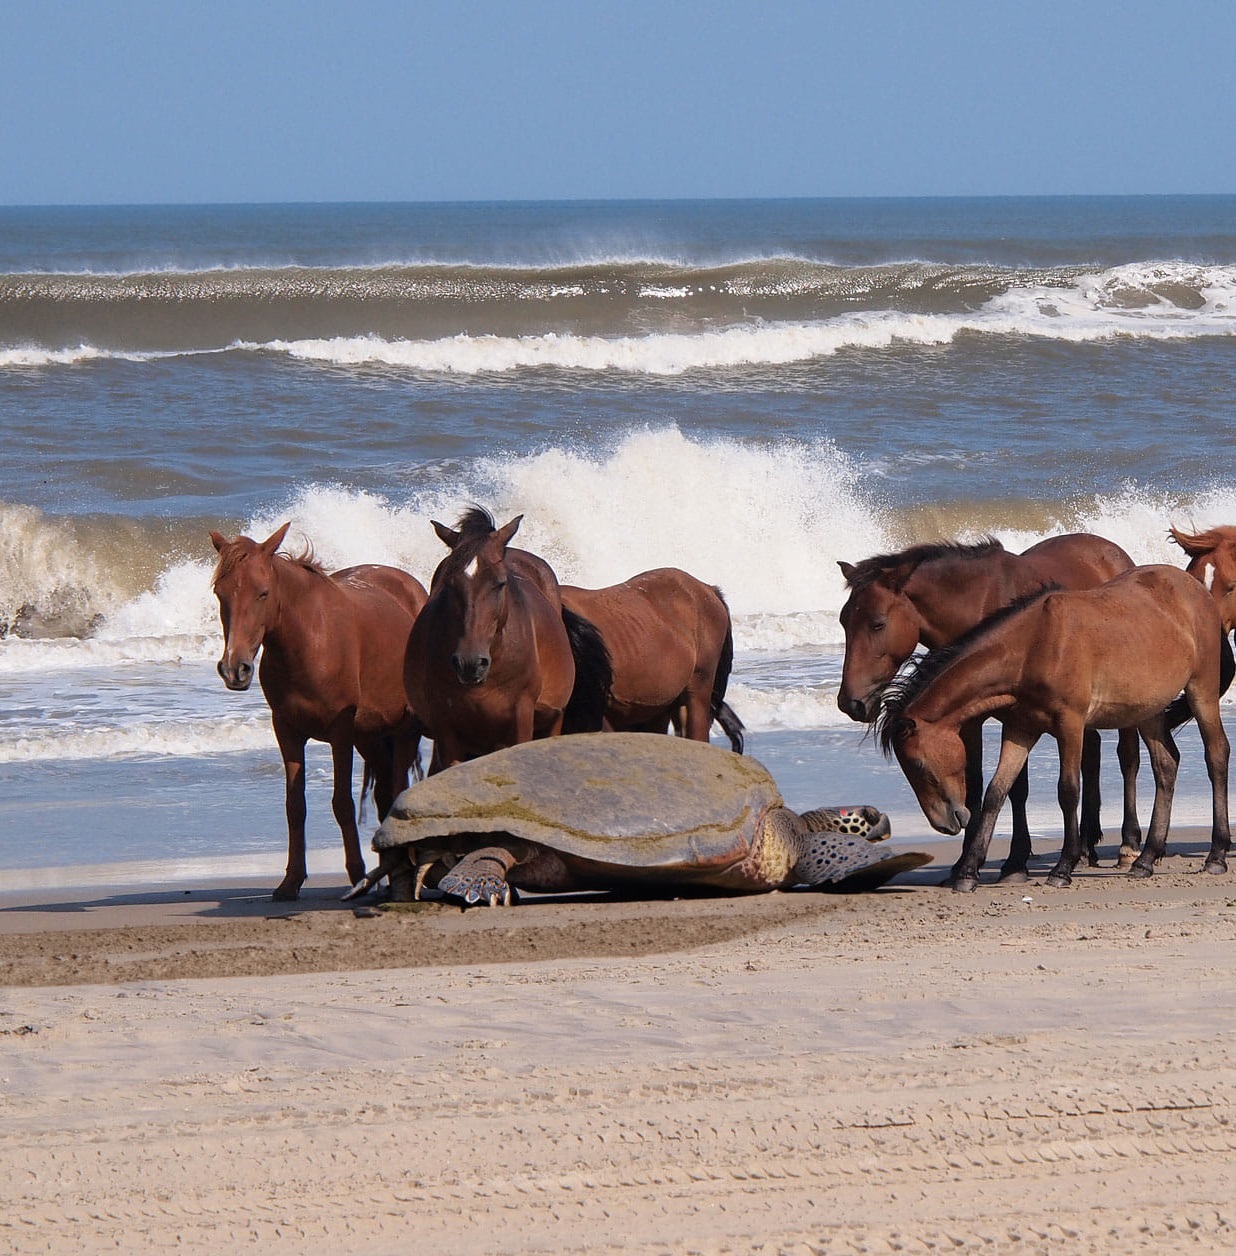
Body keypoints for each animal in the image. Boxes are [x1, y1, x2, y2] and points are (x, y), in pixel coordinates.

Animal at [211, 523, 428, 900]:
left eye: (263, 593)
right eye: (220, 594)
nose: (235, 669)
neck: (308, 640)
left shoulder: (340, 733)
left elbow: (342, 803)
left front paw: (356, 875)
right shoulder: (286, 730)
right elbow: (294, 806)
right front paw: (291, 881)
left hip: (403, 732)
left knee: (397, 789)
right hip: (370, 737)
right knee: (385, 793)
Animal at [404, 508, 611, 771]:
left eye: (500, 583)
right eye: (448, 583)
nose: (469, 663)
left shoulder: (520, 717)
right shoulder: (446, 728)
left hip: (551, 721)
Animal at [838, 533, 1142, 880]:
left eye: (877, 624)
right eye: (843, 621)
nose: (851, 703)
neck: (979, 605)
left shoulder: (1015, 716)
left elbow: (1017, 788)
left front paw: (1014, 862)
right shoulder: (967, 719)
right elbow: (976, 784)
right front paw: (965, 862)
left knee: (1128, 759)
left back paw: (1128, 844)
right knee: (1092, 752)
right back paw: (1088, 843)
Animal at [875, 565, 1231, 892]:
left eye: (917, 764)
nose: (946, 824)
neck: (1033, 646)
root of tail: (1196, 589)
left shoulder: (1070, 723)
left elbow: (1068, 790)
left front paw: (1063, 867)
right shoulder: (1020, 729)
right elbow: (996, 792)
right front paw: (967, 872)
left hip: (1201, 691)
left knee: (1216, 755)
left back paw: (1216, 855)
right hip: (1149, 710)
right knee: (1166, 765)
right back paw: (1145, 860)